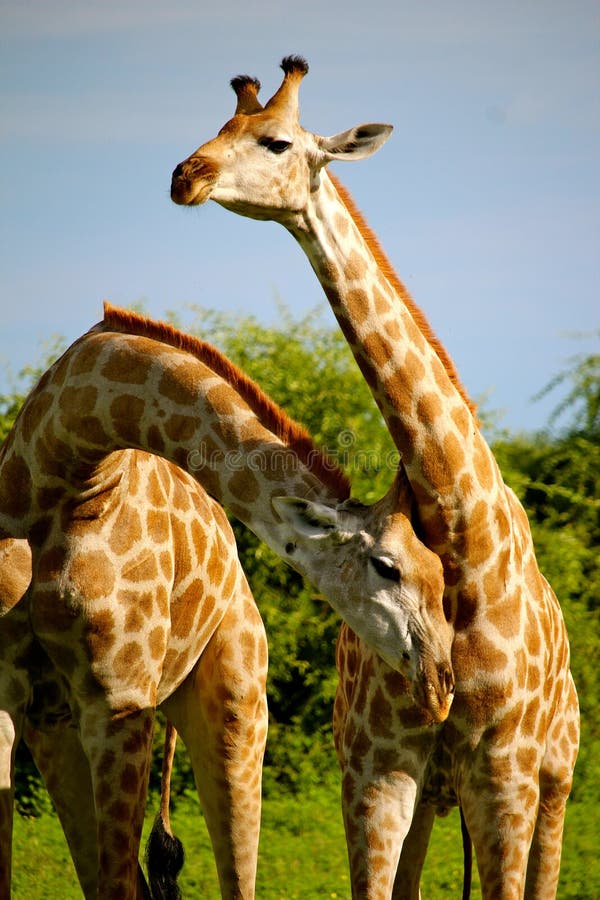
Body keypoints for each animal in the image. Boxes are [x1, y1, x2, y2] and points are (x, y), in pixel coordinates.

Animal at [0, 302, 454, 898]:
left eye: (442, 577)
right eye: (387, 566)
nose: (442, 685)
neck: (59, 470)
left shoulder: (119, 699)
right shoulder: (21, 696)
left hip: (237, 711)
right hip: (56, 728)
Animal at [169, 56, 580, 898]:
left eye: (275, 140)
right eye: (219, 127)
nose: (185, 175)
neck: (461, 531)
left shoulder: (507, 776)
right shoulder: (377, 770)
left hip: (554, 778)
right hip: (436, 795)